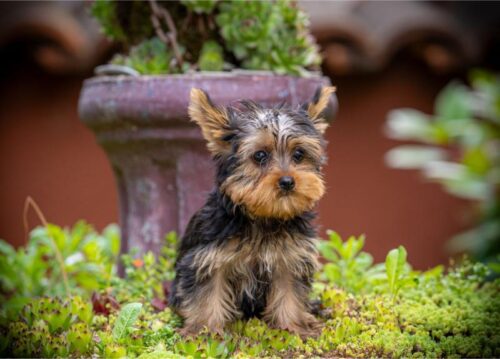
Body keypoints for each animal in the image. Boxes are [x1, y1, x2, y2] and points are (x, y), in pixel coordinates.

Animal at [171, 86, 336, 338]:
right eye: (260, 156)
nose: (288, 181)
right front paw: (204, 330)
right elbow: (207, 293)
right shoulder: (207, 258)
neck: (264, 217)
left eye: (299, 155)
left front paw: (294, 326)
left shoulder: (291, 259)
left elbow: (290, 292)